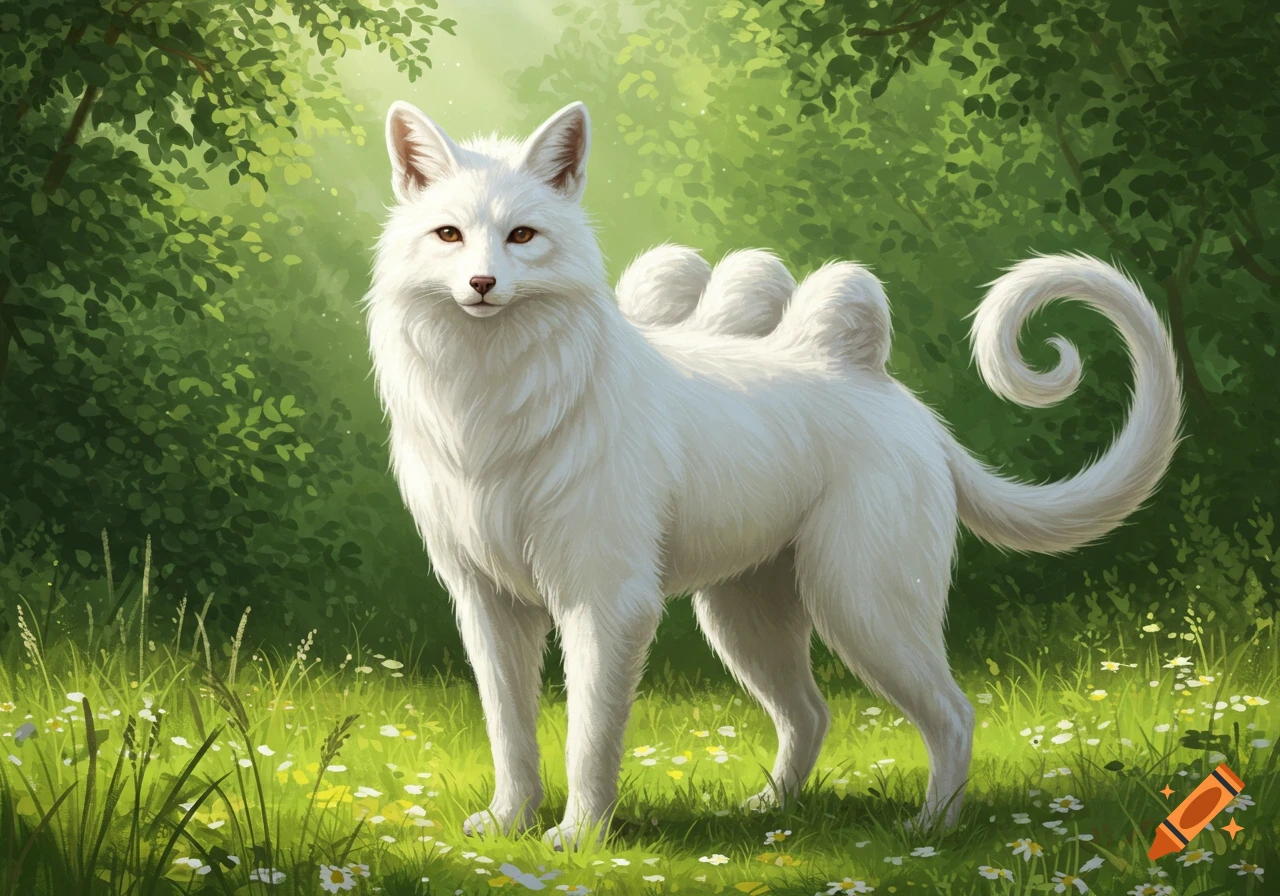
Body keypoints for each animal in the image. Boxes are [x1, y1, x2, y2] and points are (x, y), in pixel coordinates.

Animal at [363, 100, 1182, 848]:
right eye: (448, 234)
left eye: (522, 236)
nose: (481, 283)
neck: (493, 401)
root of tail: (903, 402)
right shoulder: (487, 604)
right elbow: (511, 729)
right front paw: (509, 823)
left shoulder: (607, 601)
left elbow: (590, 734)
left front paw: (581, 838)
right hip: (747, 616)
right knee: (812, 712)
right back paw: (768, 811)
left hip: (864, 603)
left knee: (951, 712)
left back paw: (930, 830)